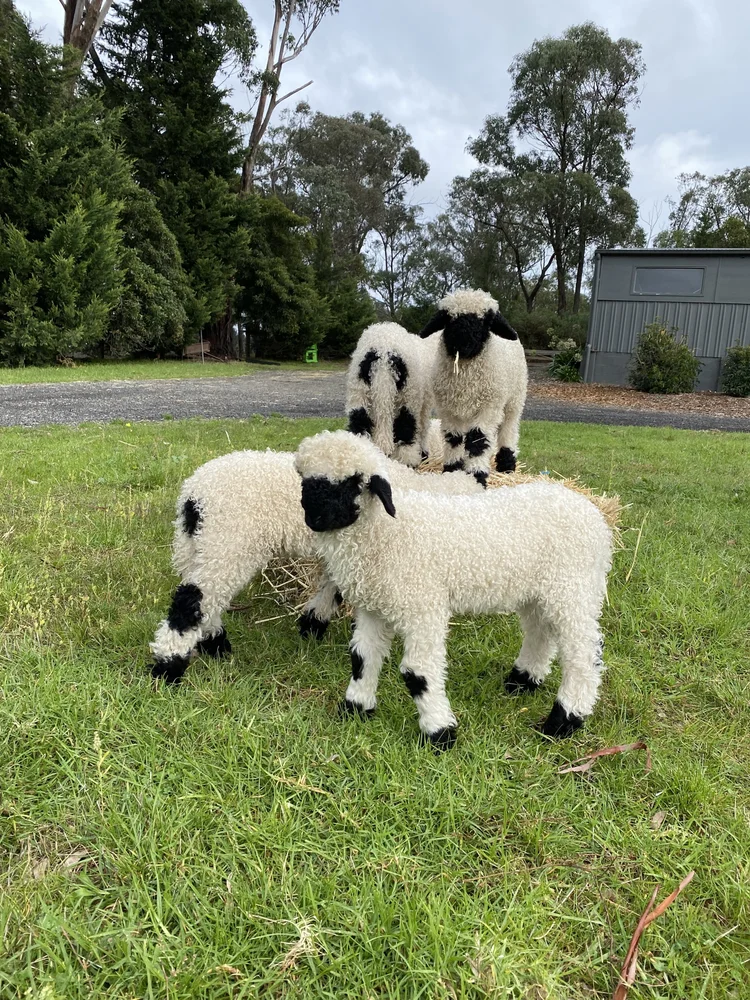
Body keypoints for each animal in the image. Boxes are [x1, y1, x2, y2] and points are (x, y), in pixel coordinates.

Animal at [149, 447, 483, 683]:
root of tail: (193, 497)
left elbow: (332, 588)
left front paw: (312, 625)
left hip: (200, 546)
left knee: (205, 599)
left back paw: (214, 644)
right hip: (230, 541)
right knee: (192, 599)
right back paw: (168, 667)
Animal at [295, 430, 612, 751]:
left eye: (352, 483)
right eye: (306, 481)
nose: (315, 519)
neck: (386, 533)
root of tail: (595, 517)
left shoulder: (423, 606)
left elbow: (418, 672)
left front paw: (439, 732)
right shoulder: (374, 607)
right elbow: (362, 657)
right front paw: (355, 709)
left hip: (572, 588)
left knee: (583, 653)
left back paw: (564, 719)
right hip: (540, 592)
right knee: (540, 632)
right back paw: (523, 680)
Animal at [346, 322, 437, 467]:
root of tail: (383, 355)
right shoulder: (424, 404)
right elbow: (423, 428)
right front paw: (424, 455)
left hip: (359, 392)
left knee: (358, 424)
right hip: (409, 395)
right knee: (406, 429)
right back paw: (409, 461)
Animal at [418, 289, 528, 485]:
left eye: (485, 321)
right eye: (449, 318)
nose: (462, 343)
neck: (466, 381)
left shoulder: (487, 408)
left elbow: (478, 440)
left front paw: (477, 475)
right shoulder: (449, 410)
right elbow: (454, 439)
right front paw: (452, 470)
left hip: (515, 399)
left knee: (509, 429)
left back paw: (507, 465)